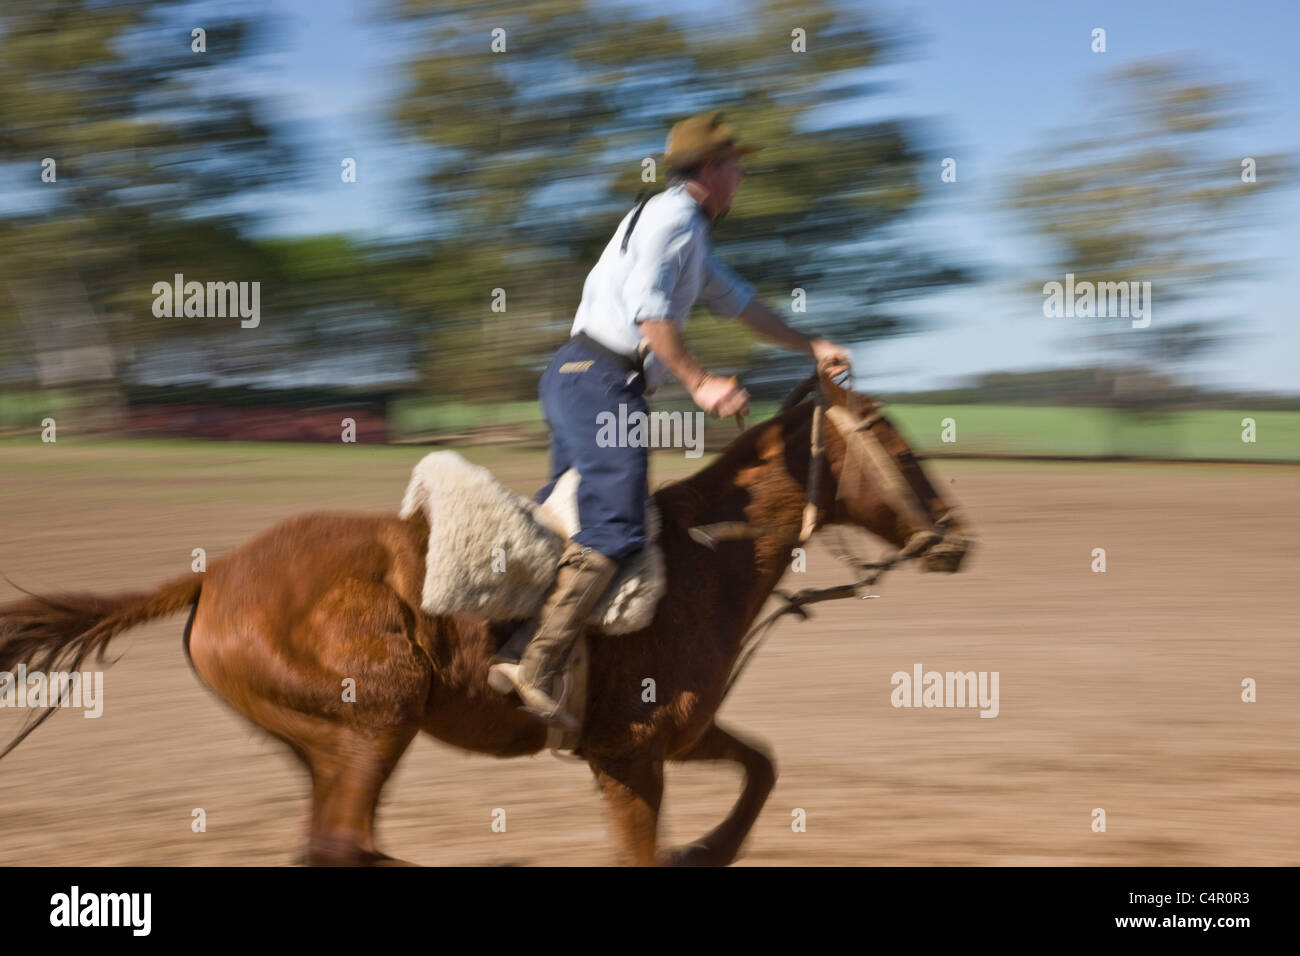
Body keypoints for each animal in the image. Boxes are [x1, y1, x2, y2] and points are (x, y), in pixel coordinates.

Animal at [0, 366, 972, 865]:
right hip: (375, 721)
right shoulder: (628, 757)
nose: (956, 537)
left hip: (324, 741)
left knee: (332, 843)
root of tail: (214, 578)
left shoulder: (676, 738)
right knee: (344, 842)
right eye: (894, 442)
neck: (705, 555)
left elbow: (762, 767)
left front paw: (706, 849)